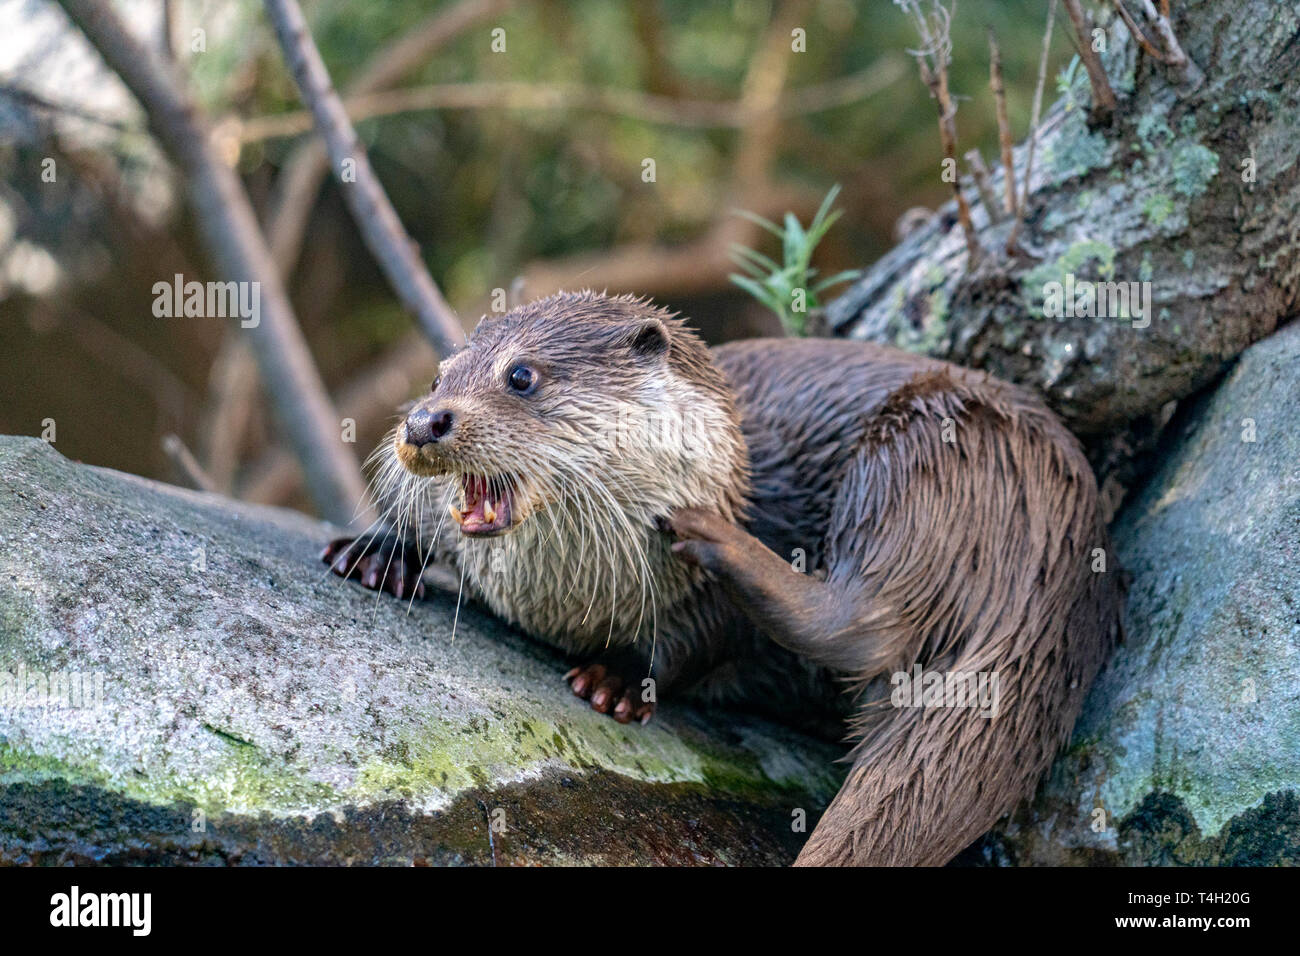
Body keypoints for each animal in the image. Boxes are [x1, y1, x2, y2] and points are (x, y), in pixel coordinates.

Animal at [322, 290, 1123, 866]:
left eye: (521, 376)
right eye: (436, 377)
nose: (424, 422)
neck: (559, 603)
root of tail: (1065, 534)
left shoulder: (707, 601)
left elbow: (704, 638)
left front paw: (619, 677)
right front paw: (376, 552)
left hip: (931, 447)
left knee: (869, 621)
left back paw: (711, 536)